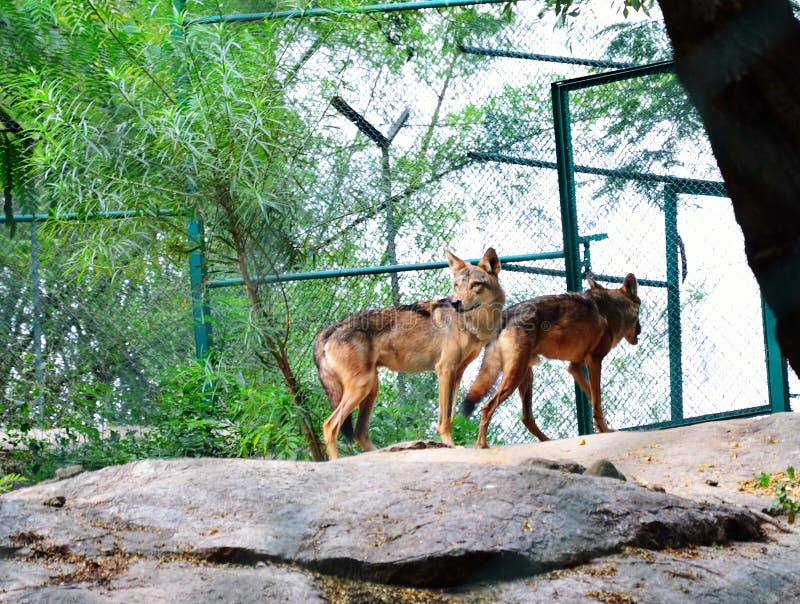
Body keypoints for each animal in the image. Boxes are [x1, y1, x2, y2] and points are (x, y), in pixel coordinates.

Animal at [314, 248, 506, 460]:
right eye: (457, 285)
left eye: (475, 285)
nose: (456, 302)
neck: (473, 323)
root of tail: (328, 330)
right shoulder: (445, 369)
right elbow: (444, 419)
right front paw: (450, 446)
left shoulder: (457, 372)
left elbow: (451, 414)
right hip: (361, 386)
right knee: (329, 426)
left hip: (371, 387)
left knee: (359, 432)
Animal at [462, 273, 641, 448]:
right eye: (640, 311)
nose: (640, 330)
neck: (615, 308)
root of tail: (507, 314)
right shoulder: (595, 361)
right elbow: (597, 400)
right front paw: (605, 429)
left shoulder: (575, 367)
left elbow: (592, 396)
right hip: (514, 377)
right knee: (487, 407)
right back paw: (482, 445)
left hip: (525, 376)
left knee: (526, 417)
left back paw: (546, 440)